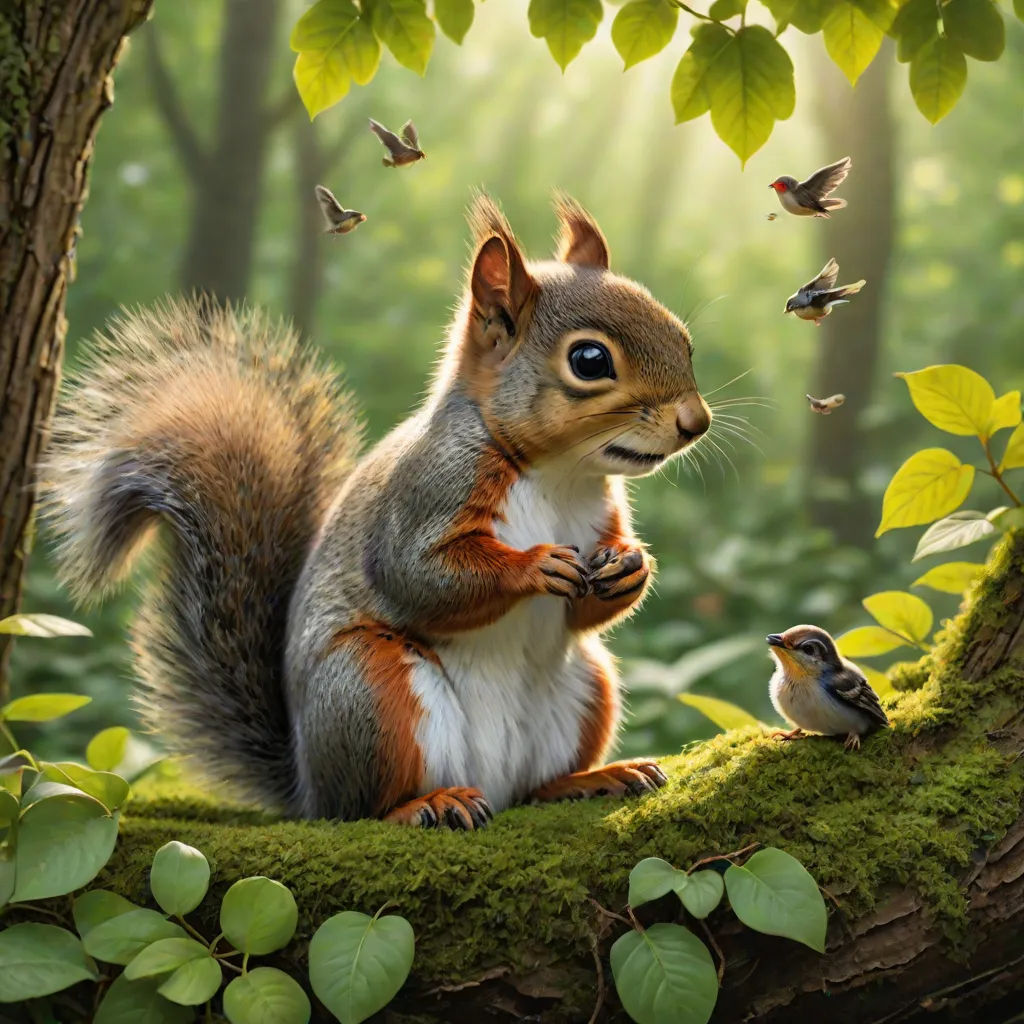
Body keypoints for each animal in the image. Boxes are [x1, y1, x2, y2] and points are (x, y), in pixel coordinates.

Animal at [44, 195, 712, 829]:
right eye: (590, 361)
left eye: (684, 338)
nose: (695, 422)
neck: (557, 472)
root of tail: (309, 788)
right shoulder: (427, 490)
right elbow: (417, 575)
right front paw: (533, 565)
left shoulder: (600, 514)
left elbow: (587, 607)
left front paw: (632, 566)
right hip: (369, 688)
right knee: (365, 805)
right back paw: (426, 805)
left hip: (587, 683)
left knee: (534, 786)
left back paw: (590, 778)